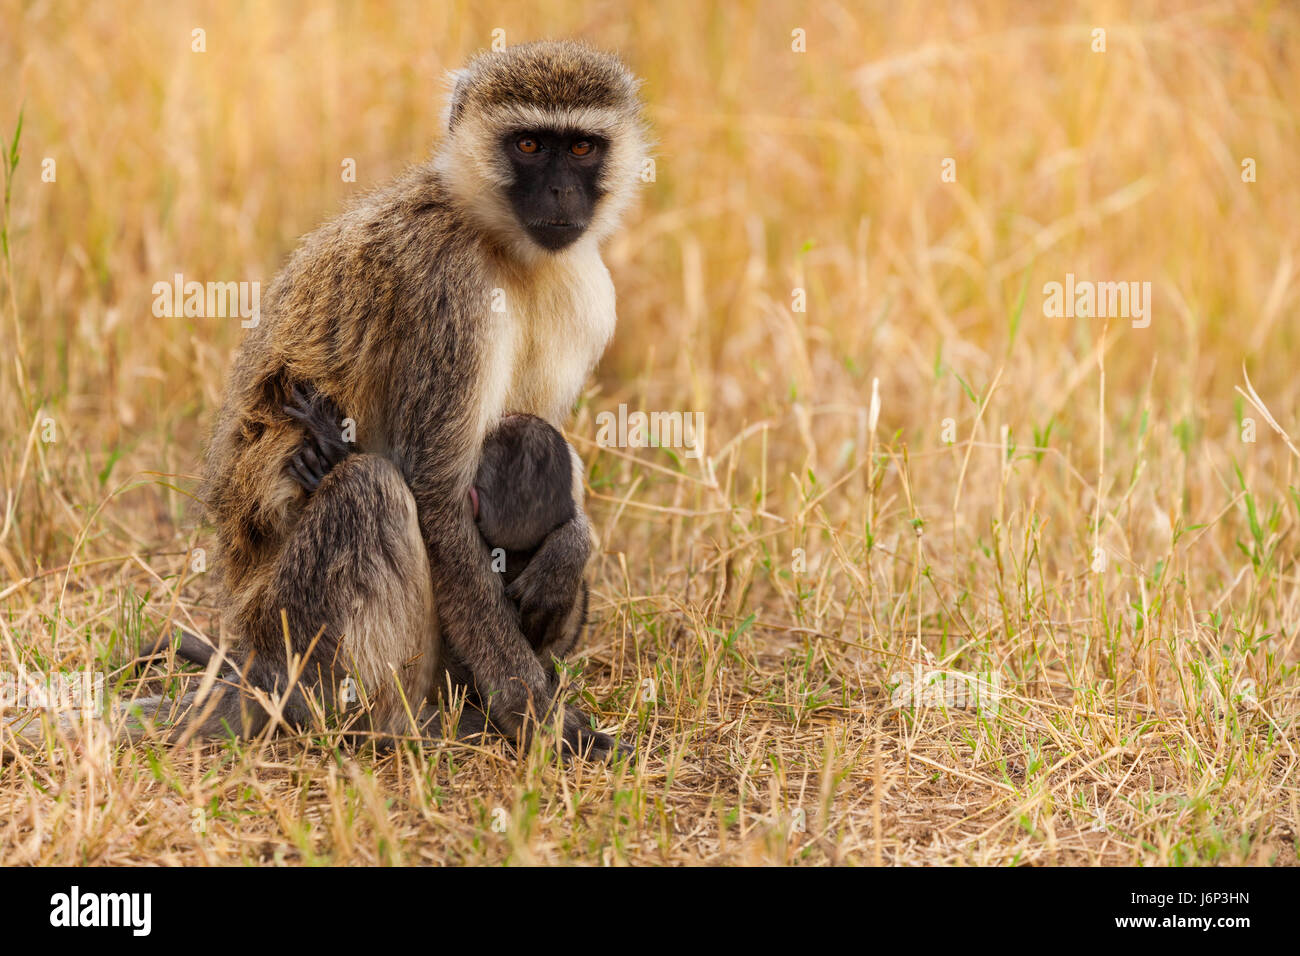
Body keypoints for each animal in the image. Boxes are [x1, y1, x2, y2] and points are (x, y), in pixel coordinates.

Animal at [9, 41, 647, 760]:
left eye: (583, 148)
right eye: (531, 144)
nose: (562, 192)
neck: (504, 246)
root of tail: (254, 671)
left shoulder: (586, 294)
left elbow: (547, 455)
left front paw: (571, 549)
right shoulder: (448, 290)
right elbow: (435, 491)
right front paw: (534, 714)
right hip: (291, 636)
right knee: (369, 489)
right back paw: (386, 725)